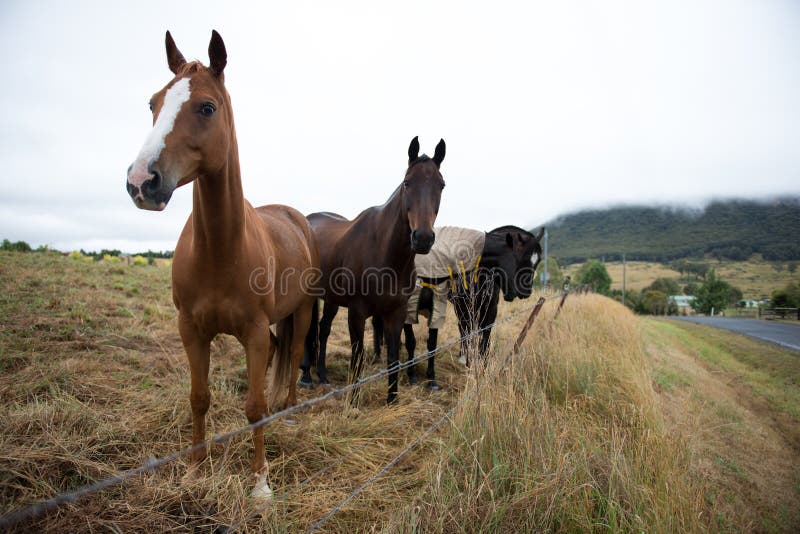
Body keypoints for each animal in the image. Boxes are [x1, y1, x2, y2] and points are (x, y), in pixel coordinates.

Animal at [126, 31, 319, 495]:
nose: (141, 181)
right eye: (153, 103)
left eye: (207, 107)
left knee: (292, 359)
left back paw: (291, 410)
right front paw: (195, 469)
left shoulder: (254, 331)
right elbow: (199, 398)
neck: (219, 250)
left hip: (302, 311)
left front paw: (260, 482)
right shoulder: (192, 330)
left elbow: (255, 406)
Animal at [300, 137, 446, 404]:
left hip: (332, 299)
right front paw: (354, 402)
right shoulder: (357, 313)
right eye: (407, 183)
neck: (385, 253)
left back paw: (323, 374)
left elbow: (394, 358)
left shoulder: (396, 314)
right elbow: (357, 358)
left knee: (323, 330)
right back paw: (306, 375)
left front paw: (392, 400)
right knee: (308, 332)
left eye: (441, 185)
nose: (422, 238)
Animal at [373, 225, 544, 387]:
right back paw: (377, 355)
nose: (525, 292)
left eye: (538, 261)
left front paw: (482, 366)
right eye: (521, 259)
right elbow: (416, 341)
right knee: (377, 324)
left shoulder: (489, 309)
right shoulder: (456, 307)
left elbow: (484, 338)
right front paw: (467, 362)